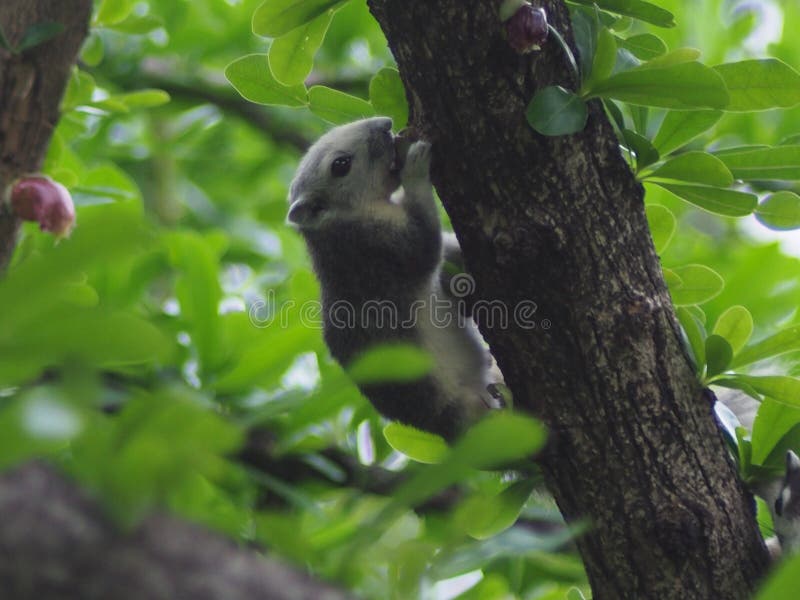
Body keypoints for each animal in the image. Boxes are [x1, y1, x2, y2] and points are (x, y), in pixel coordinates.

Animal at [287, 117, 499, 441]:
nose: (386, 124)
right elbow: (424, 246)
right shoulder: (377, 249)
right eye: (340, 165)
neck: (340, 223)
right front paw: (415, 166)